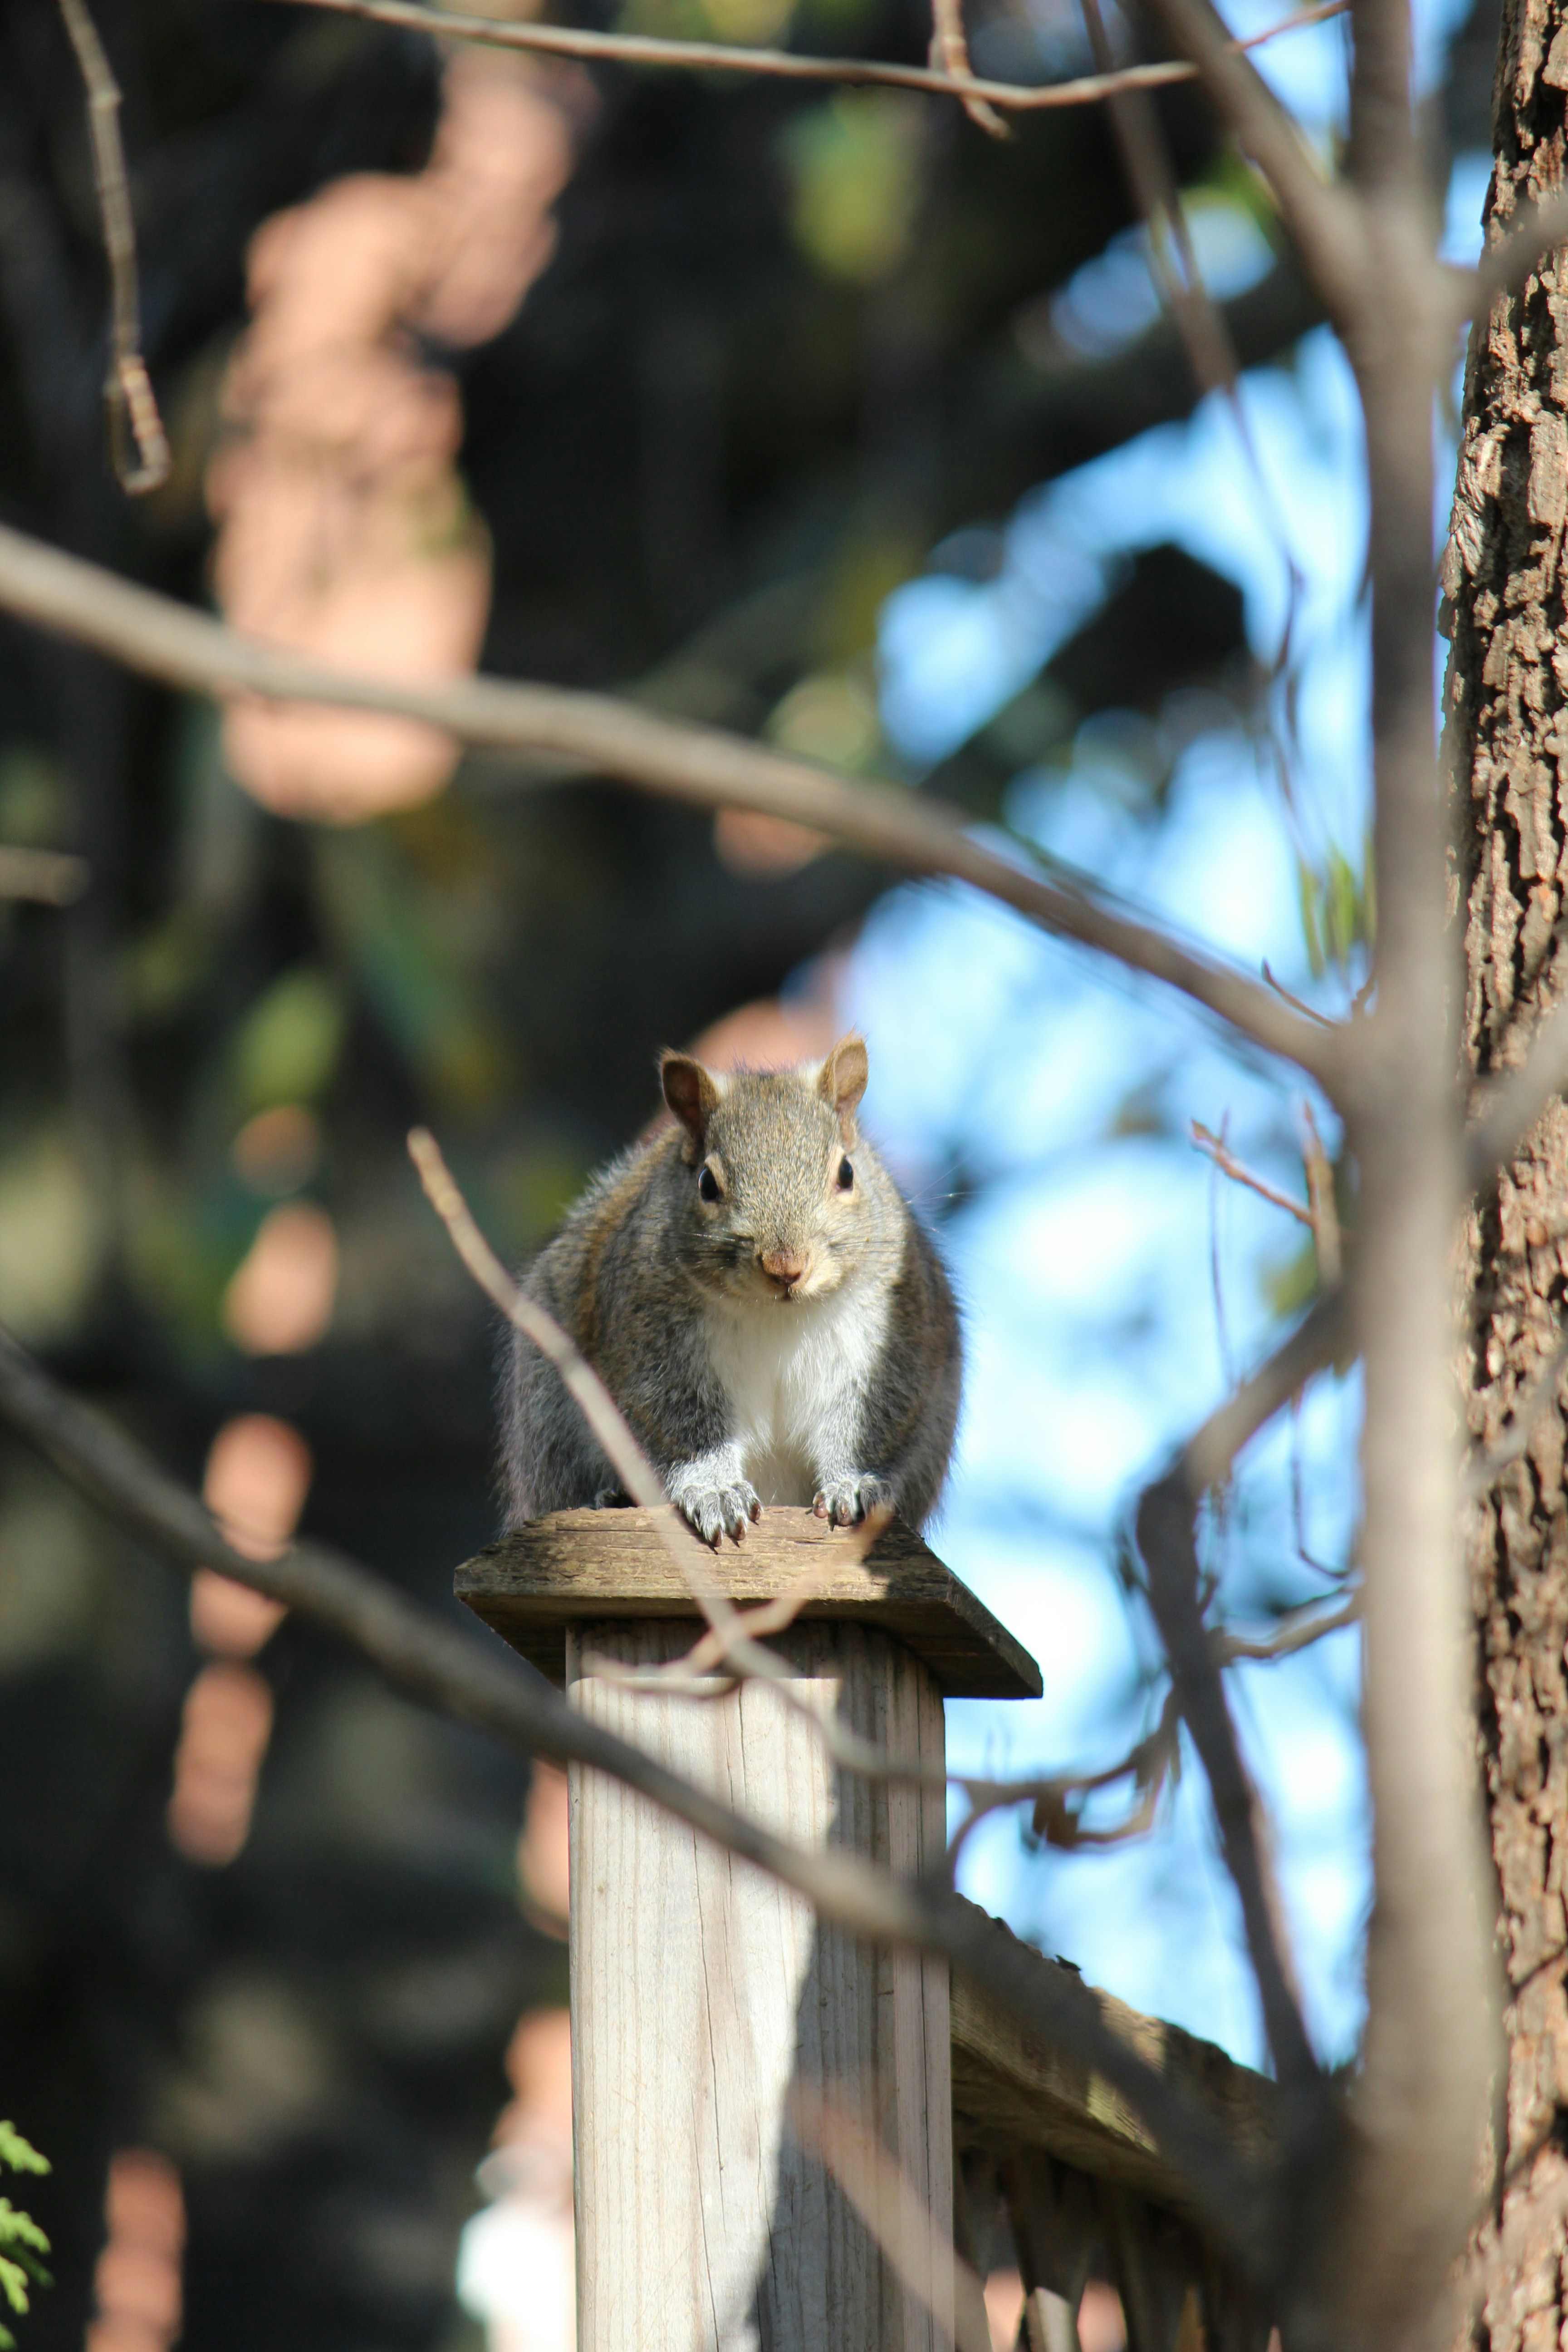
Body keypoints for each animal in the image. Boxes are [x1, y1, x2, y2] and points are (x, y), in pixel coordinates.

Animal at [500, 1034, 961, 1545]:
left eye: (847, 1173)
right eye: (707, 1183)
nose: (786, 1267)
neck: (776, 1313)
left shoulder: (892, 1331)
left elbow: (871, 1419)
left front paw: (854, 1486)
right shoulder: (649, 1341)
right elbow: (678, 1423)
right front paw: (715, 1491)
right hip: (549, 1418)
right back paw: (612, 1497)